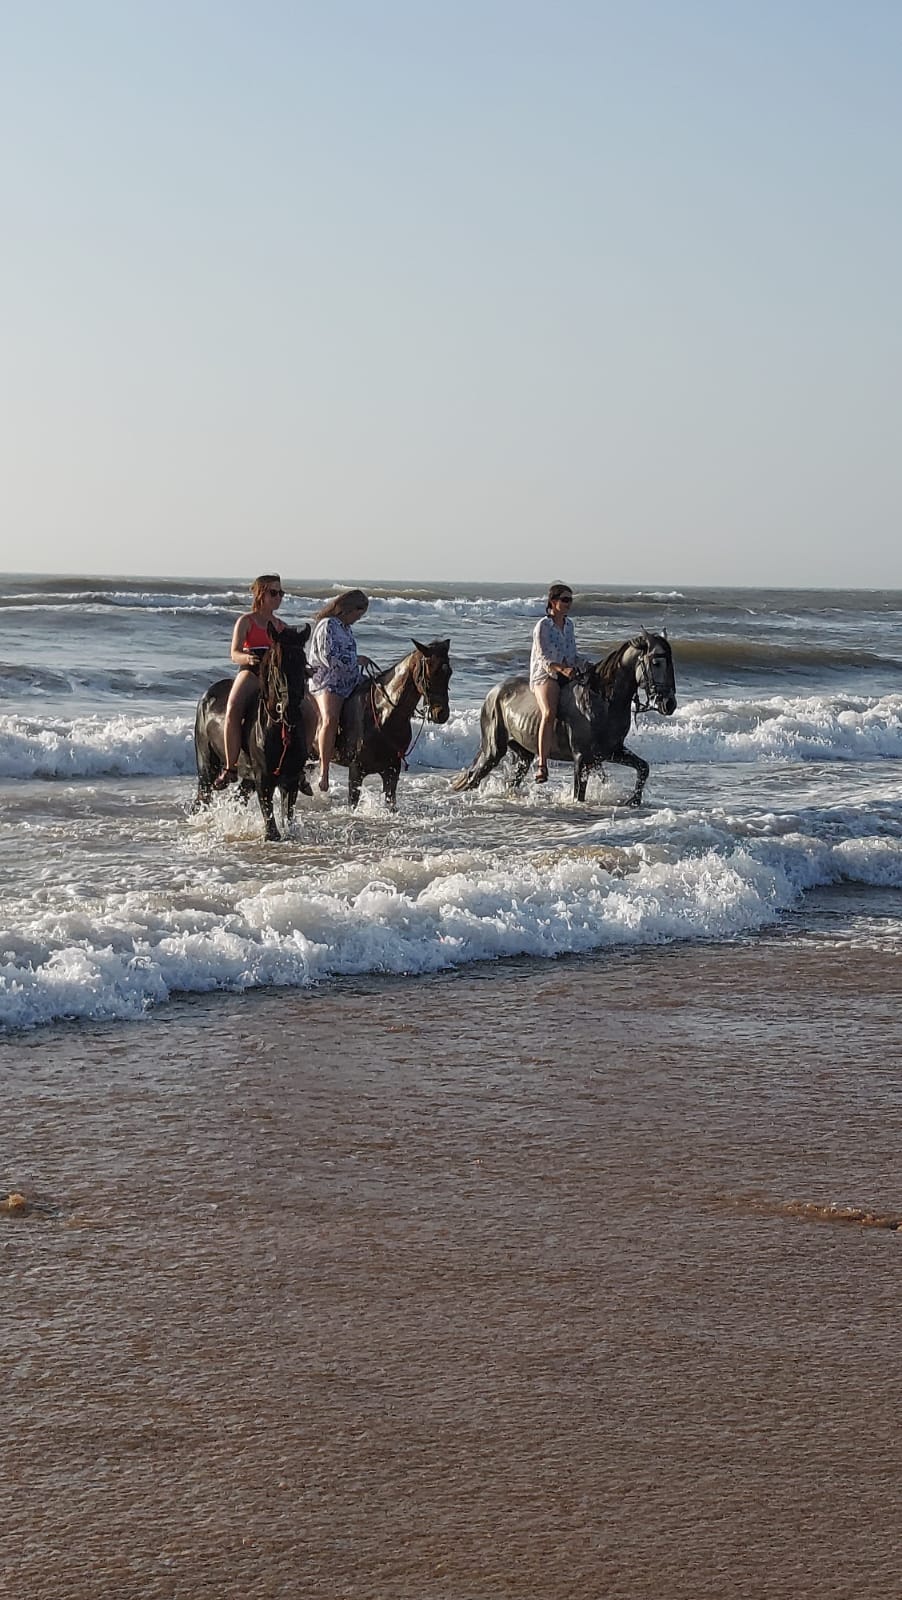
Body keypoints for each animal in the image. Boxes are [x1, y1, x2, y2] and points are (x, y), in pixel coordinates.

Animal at [193, 623, 312, 840]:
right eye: (277, 665)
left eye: (303, 663)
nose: (290, 710)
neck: (278, 728)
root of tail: (208, 694)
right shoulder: (263, 779)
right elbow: (271, 827)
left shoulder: (290, 780)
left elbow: (287, 818)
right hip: (207, 767)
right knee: (202, 797)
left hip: (247, 776)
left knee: (238, 798)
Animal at [304, 639, 452, 808]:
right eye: (430, 673)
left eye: (449, 672)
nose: (442, 714)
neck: (384, 715)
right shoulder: (356, 771)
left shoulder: (392, 770)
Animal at [451, 630, 677, 804]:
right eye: (656, 662)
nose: (670, 704)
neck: (602, 701)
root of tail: (494, 692)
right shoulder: (581, 758)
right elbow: (579, 794)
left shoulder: (612, 751)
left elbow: (643, 767)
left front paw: (634, 801)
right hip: (493, 750)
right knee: (473, 776)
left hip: (524, 753)